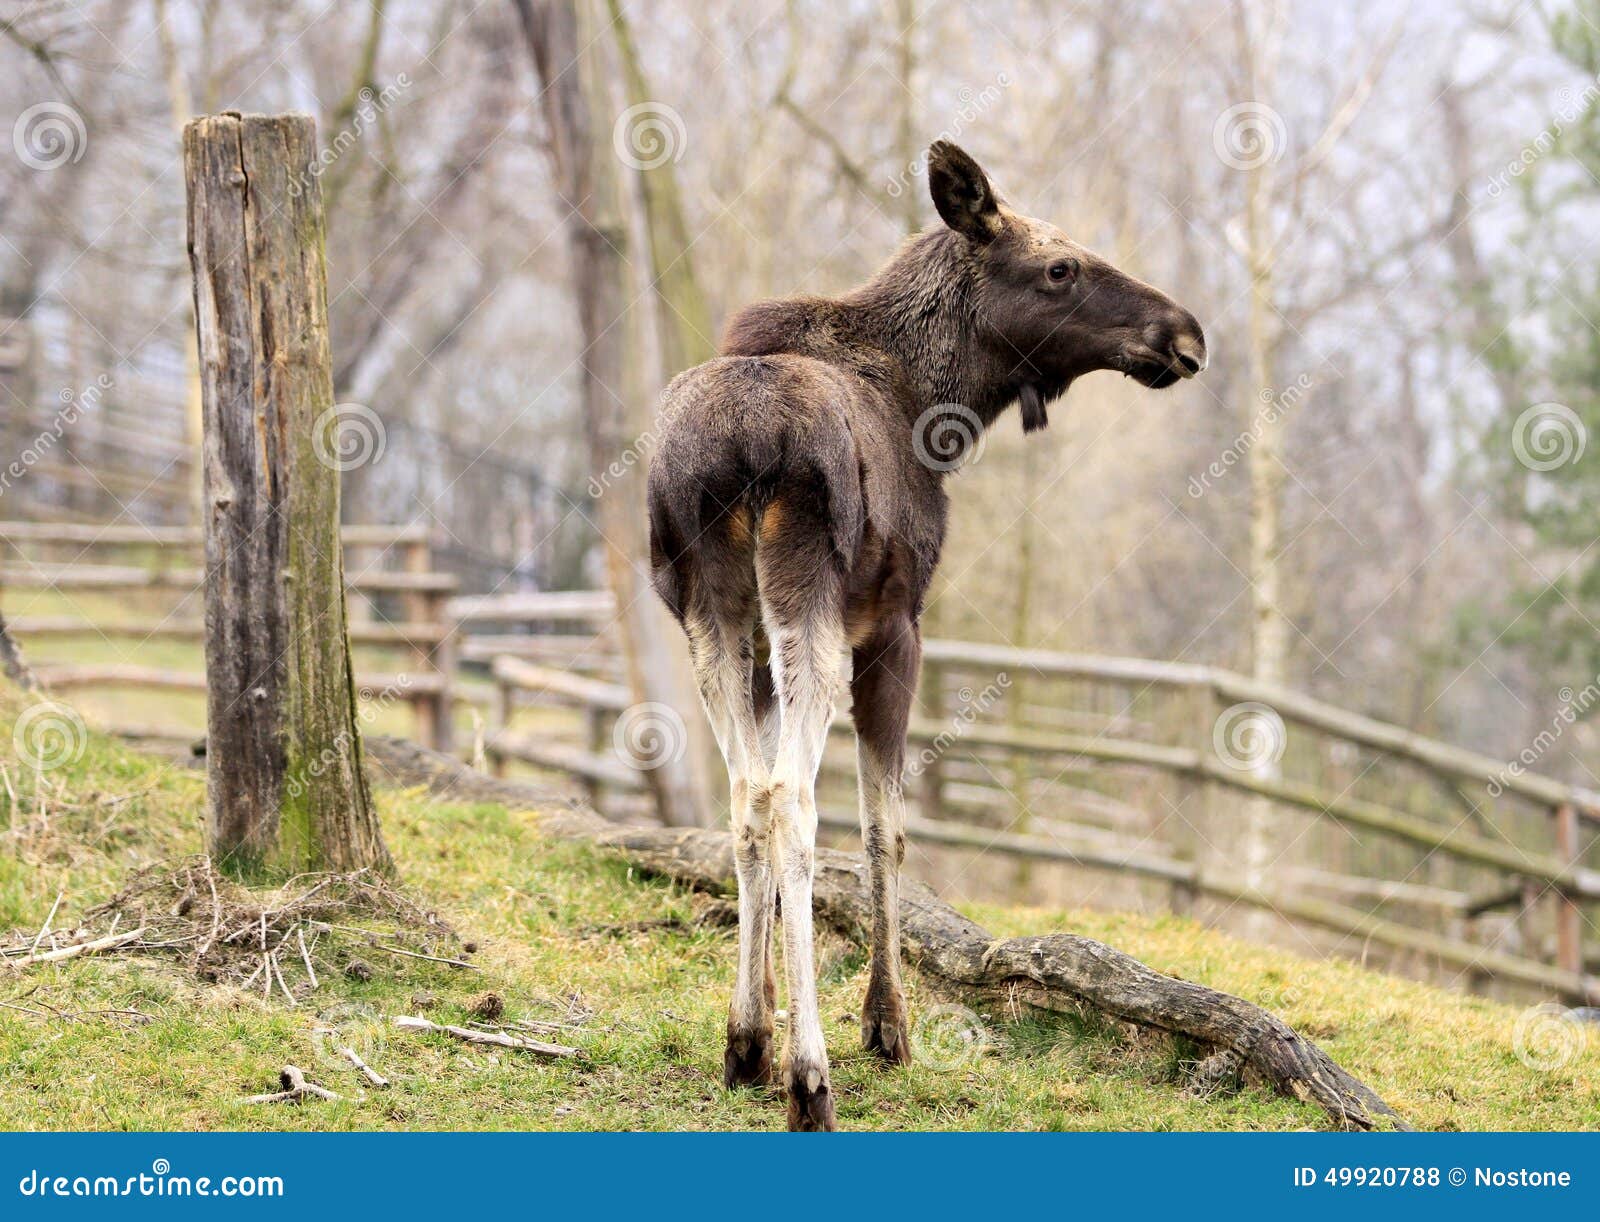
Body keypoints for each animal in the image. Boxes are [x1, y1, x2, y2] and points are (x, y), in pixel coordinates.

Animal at [646, 141, 1207, 1130]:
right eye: (1059, 268)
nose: (1186, 335)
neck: (936, 409)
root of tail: (741, 449)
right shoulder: (900, 628)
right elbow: (886, 833)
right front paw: (887, 1025)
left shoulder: (760, 649)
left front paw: (756, 1028)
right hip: (814, 607)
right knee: (793, 803)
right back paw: (812, 1078)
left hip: (712, 612)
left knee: (747, 799)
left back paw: (749, 1042)